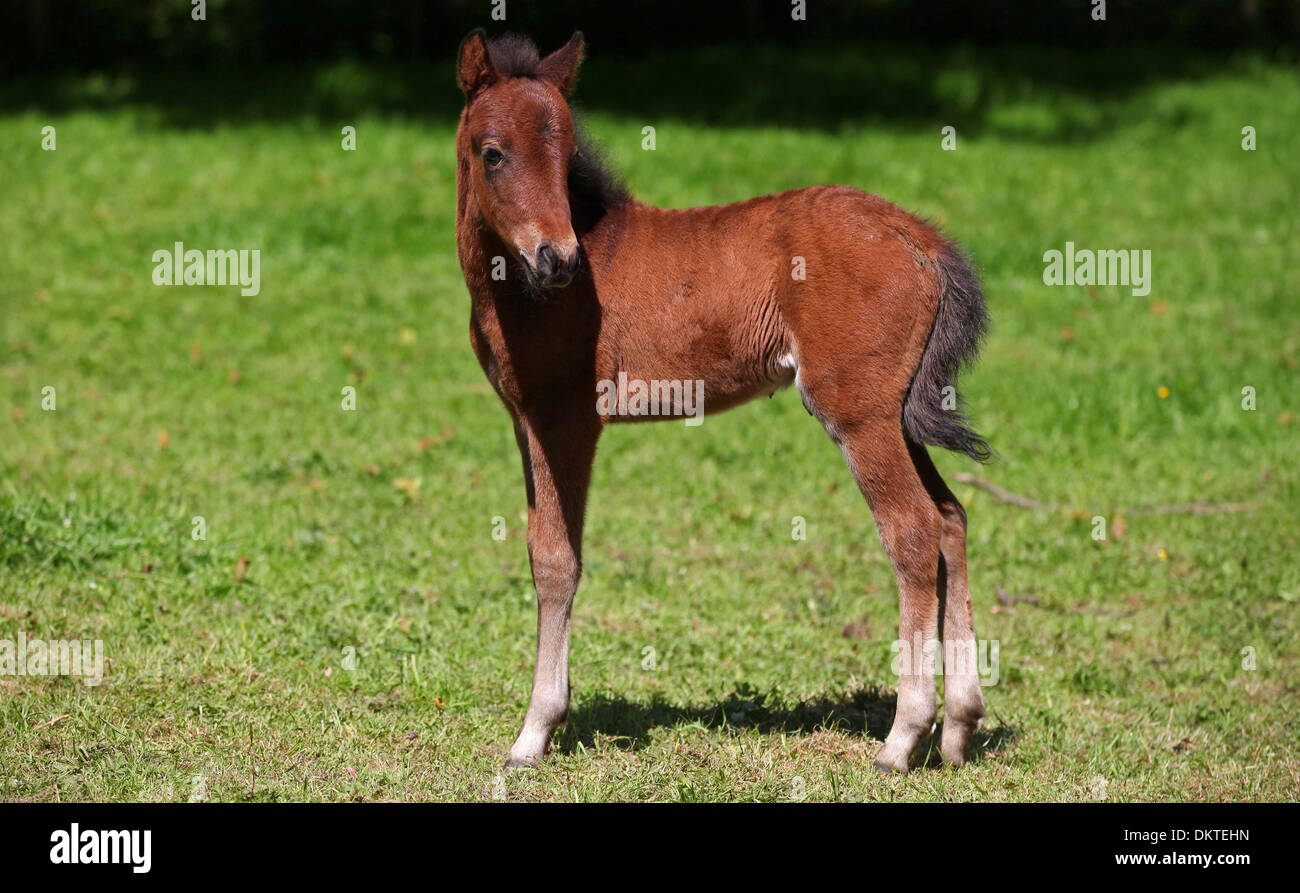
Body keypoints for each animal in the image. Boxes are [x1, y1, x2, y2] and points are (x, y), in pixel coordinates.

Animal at [454, 29, 991, 774]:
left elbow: (556, 560)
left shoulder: (566, 419)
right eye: (493, 152)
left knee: (912, 531)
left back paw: (902, 737)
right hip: (900, 414)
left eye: (564, 155)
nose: (556, 259)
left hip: (860, 416)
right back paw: (960, 727)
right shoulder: (522, 419)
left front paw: (534, 733)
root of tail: (923, 239)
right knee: (950, 519)